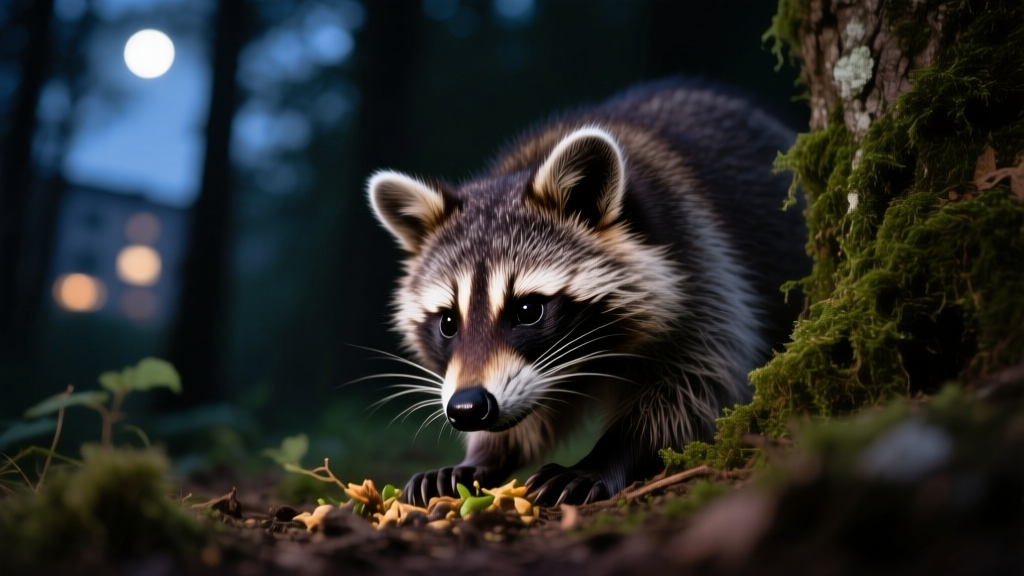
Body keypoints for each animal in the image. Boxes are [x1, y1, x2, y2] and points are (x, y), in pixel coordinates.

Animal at [366, 80, 808, 506]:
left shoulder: (699, 261)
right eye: (447, 322)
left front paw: (607, 456)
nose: (468, 408)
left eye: (528, 310)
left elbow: (693, 386)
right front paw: (484, 456)